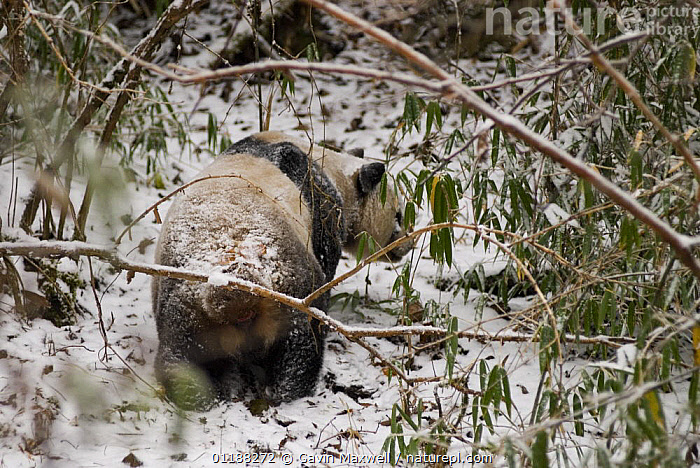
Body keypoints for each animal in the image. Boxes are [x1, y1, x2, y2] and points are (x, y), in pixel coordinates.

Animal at [152, 131, 410, 409]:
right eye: (398, 215)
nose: (408, 244)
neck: (334, 168)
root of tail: (235, 292)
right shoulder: (322, 208)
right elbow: (326, 254)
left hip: (185, 309)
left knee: (182, 356)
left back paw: (196, 395)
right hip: (290, 294)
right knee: (301, 343)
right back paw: (290, 391)